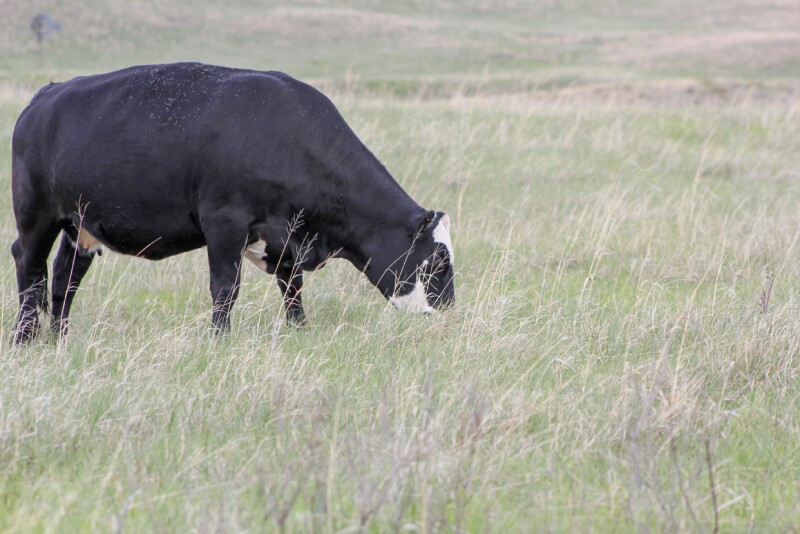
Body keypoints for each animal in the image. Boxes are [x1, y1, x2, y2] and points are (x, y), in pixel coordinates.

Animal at [10, 62, 455, 344]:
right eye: (437, 260)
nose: (449, 310)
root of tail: (46, 94)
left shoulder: (285, 237)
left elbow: (292, 289)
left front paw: (300, 332)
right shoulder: (225, 222)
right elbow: (225, 287)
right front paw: (220, 340)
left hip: (79, 224)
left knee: (65, 276)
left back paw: (61, 337)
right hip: (36, 215)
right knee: (29, 266)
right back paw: (24, 337)